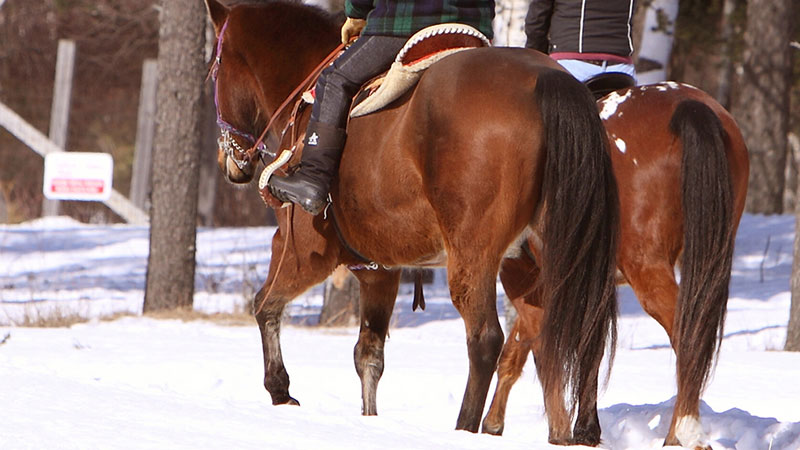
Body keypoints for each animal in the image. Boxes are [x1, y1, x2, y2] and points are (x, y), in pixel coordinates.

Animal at [204, 0, 620, 444]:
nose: (229, 161)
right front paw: (368, 418)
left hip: (473, 257)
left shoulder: (301, 248)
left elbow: (265, 305)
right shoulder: (379, 270)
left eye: (214, 68)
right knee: (570, 336)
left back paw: (465, 427)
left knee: (486, 340)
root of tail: (547, 80)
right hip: (535, 262)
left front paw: (280, 390)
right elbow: (368, 356)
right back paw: (573, 432)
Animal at [481, 82, 750, 449]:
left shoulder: (525, 274)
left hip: (646, 267)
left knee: (687, 336)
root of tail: (691, 106)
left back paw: (682, 433)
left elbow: (541, 350)